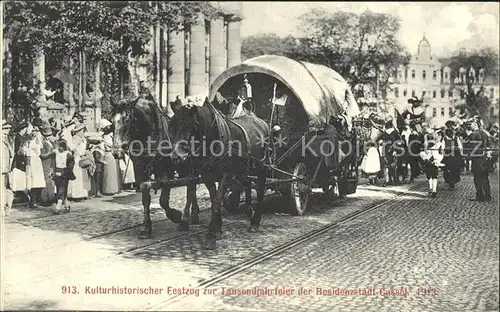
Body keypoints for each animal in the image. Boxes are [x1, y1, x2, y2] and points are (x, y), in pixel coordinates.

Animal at [112, 96, 200, 238]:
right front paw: (146, 227)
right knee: (192, 187)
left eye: (127, 120)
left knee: (190, 188)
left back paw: (185, 220)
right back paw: (194, 214)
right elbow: (145, 199)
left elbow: (163, 200)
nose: (116, 151)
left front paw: (175, 215)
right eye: (112, 121)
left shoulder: (166, 170)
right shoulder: (140, 170)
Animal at [168, 98, 270, 250]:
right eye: (171, 127)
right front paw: (218, 228)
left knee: (260, 188)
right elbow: (213, 198)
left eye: (188, 127)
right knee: (247, 184)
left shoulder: (225, 174)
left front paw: (211, 235)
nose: (176, 158)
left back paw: (255, 221)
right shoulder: (206, 175)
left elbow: (216, 201)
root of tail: (262, 122)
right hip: (240, 170)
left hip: (261, 166)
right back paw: (249, 212)